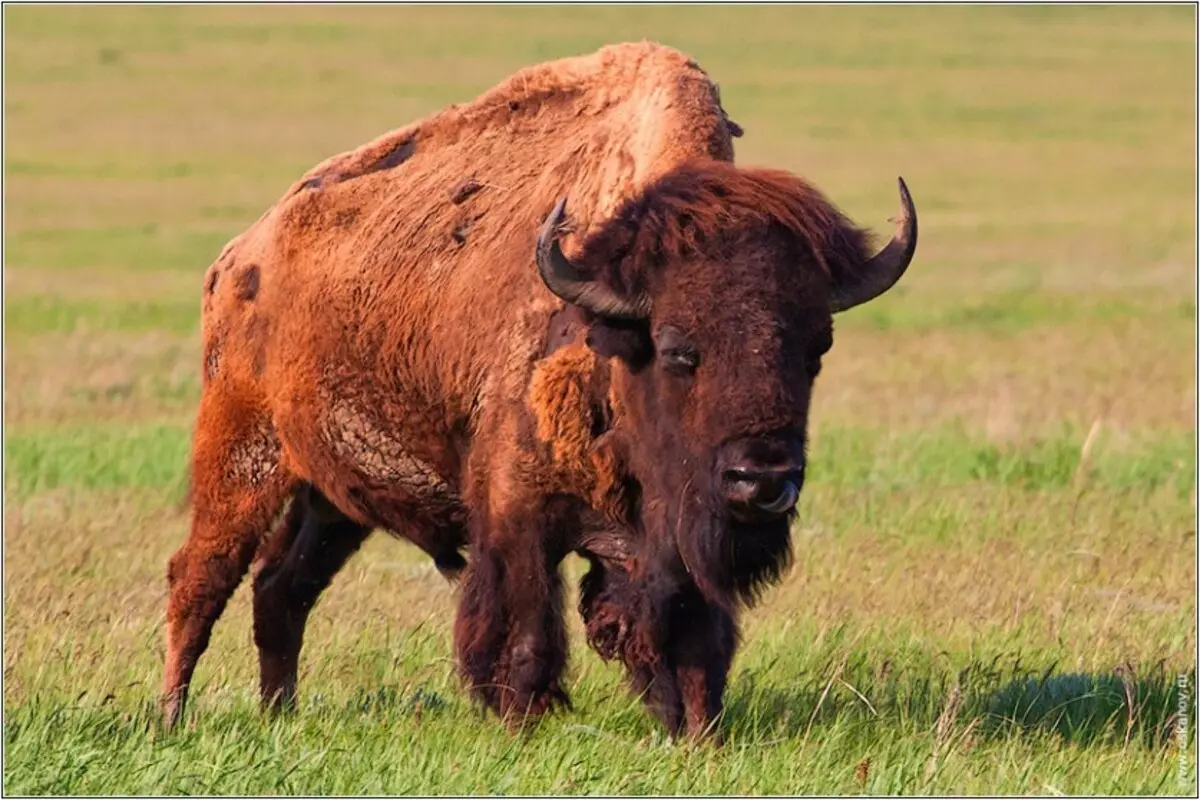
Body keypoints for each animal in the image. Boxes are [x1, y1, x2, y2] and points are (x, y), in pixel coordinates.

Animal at [162, 42, 916, 738]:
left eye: (816, 349)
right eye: (679, 349)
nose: (761, 481)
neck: (611, 335)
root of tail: (239, 255)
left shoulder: (671, 542)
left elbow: (694, 638)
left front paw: (698, 733)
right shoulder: (518, 515)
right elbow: (525, 636)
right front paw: (522, 725)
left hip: (334, 496)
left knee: (282, 589)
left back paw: (279, 714)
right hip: (243, 457)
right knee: (201, 577)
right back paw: (171, 717)